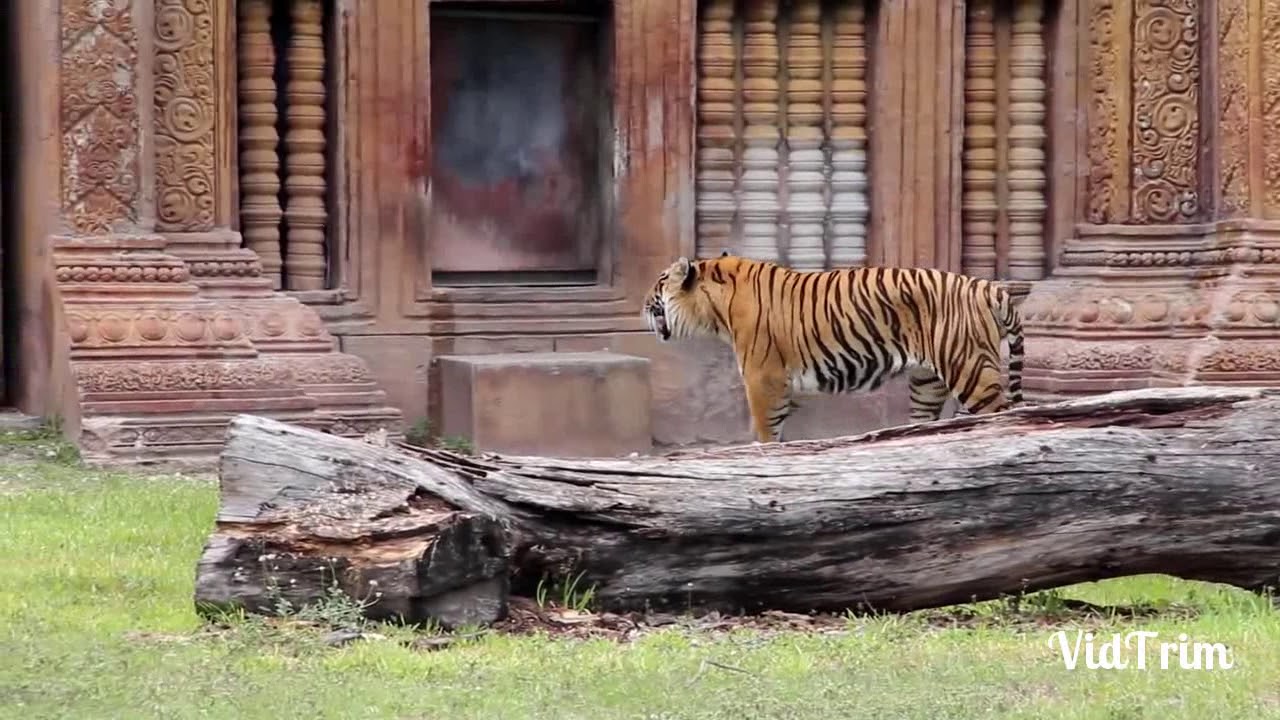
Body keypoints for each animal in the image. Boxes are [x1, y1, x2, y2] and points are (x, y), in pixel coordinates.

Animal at [642, 251, 1026, 443]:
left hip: (971, 370)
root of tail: (986, 287)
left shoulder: (764, 379)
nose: (644, 304)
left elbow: (766, 433)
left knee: (1004, 417)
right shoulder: (782, 386)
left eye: (659, 283)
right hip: (927, 383)